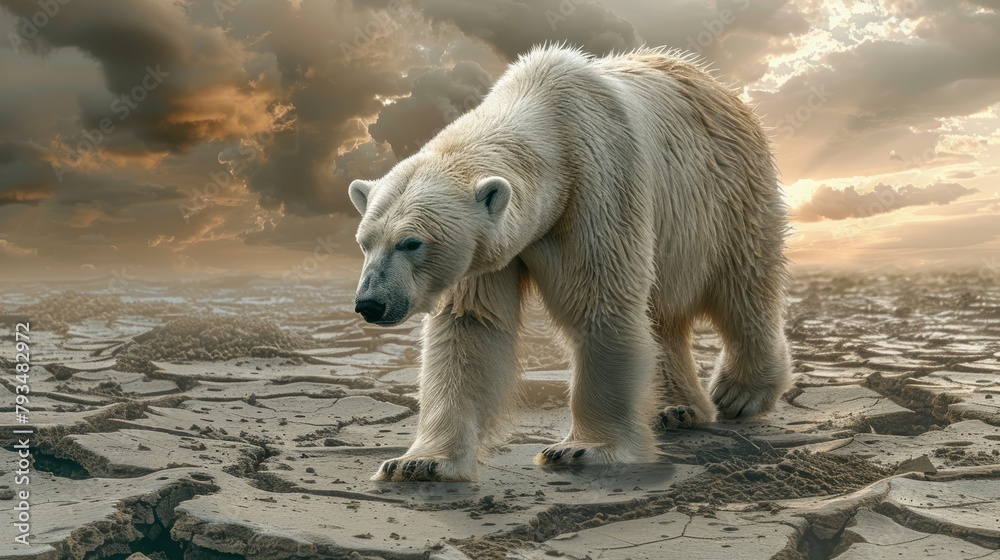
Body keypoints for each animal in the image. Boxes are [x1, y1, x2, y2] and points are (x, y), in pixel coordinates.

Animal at [348, 45, 792, 482]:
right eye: (365, 241)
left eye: (411, 242)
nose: (370, 303)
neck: (549, 121)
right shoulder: (489, 253)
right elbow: (470, 325)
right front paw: (418, 462)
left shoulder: (599, 187)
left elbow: (599, 303)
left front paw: (582, 449)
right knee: (663, 316)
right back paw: (675, 408)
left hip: (726, 193)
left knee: (743, 285)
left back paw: (739, 392)